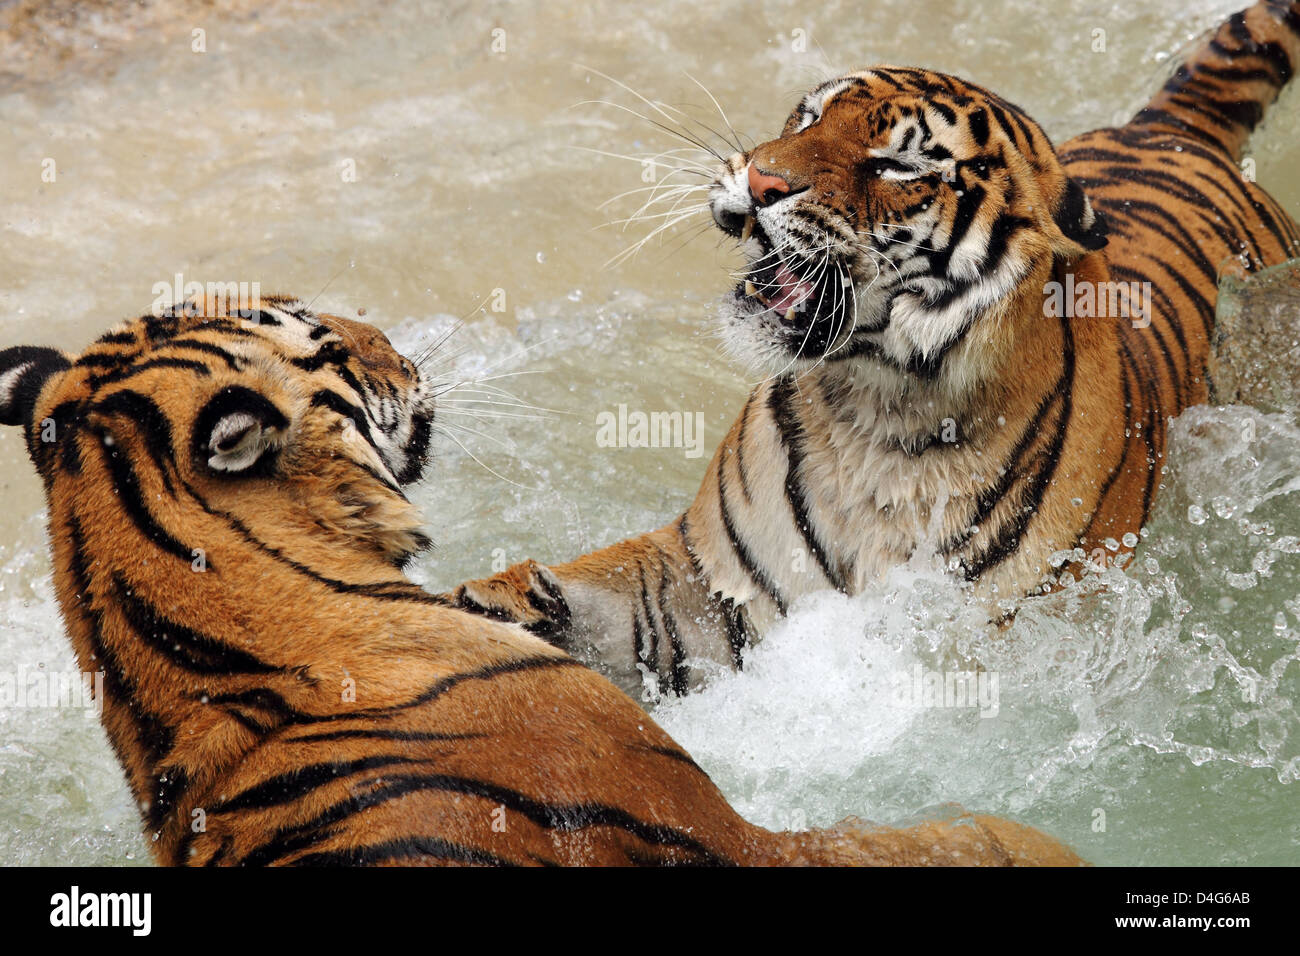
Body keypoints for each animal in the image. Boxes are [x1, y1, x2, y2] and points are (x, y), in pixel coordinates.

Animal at [450, 0, 1300, 696]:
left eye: (896, 164)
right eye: (805, 118)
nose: (759, 181)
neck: (882, 412)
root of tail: (1169, 128)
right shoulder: (706, 578)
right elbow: (607, 595)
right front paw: (492, 602)